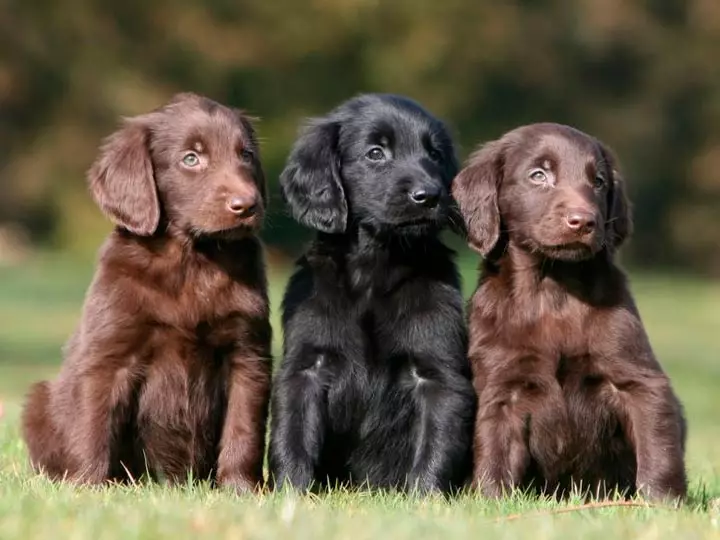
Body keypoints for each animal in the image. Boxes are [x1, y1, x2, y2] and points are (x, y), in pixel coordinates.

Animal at [21, 94, 272, 494]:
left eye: (245, 155)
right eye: (191, 158)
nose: (247, 204)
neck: (191, 260)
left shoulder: (247, 354)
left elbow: (243, 429)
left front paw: (241, 489)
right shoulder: (110, 356)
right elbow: (93, 425)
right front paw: (89, 487)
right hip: (38, 402)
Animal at [268, 94, 476, 494]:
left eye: (435, 154)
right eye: (375, 153)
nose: (429, 196)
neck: (374, 269)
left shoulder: (437, 372)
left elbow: (437, 440)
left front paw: (425, 498)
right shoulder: (305, 367)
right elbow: (292, 435)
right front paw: (289, 494)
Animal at [456, 122, 688, 502]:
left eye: (599, 181)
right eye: (538, 175)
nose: (584, 222)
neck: (555, 290)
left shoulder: (638, 380)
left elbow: (658, 445)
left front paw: (662, 502)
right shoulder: (501, 386)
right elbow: (494, 449)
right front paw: (490, 501)